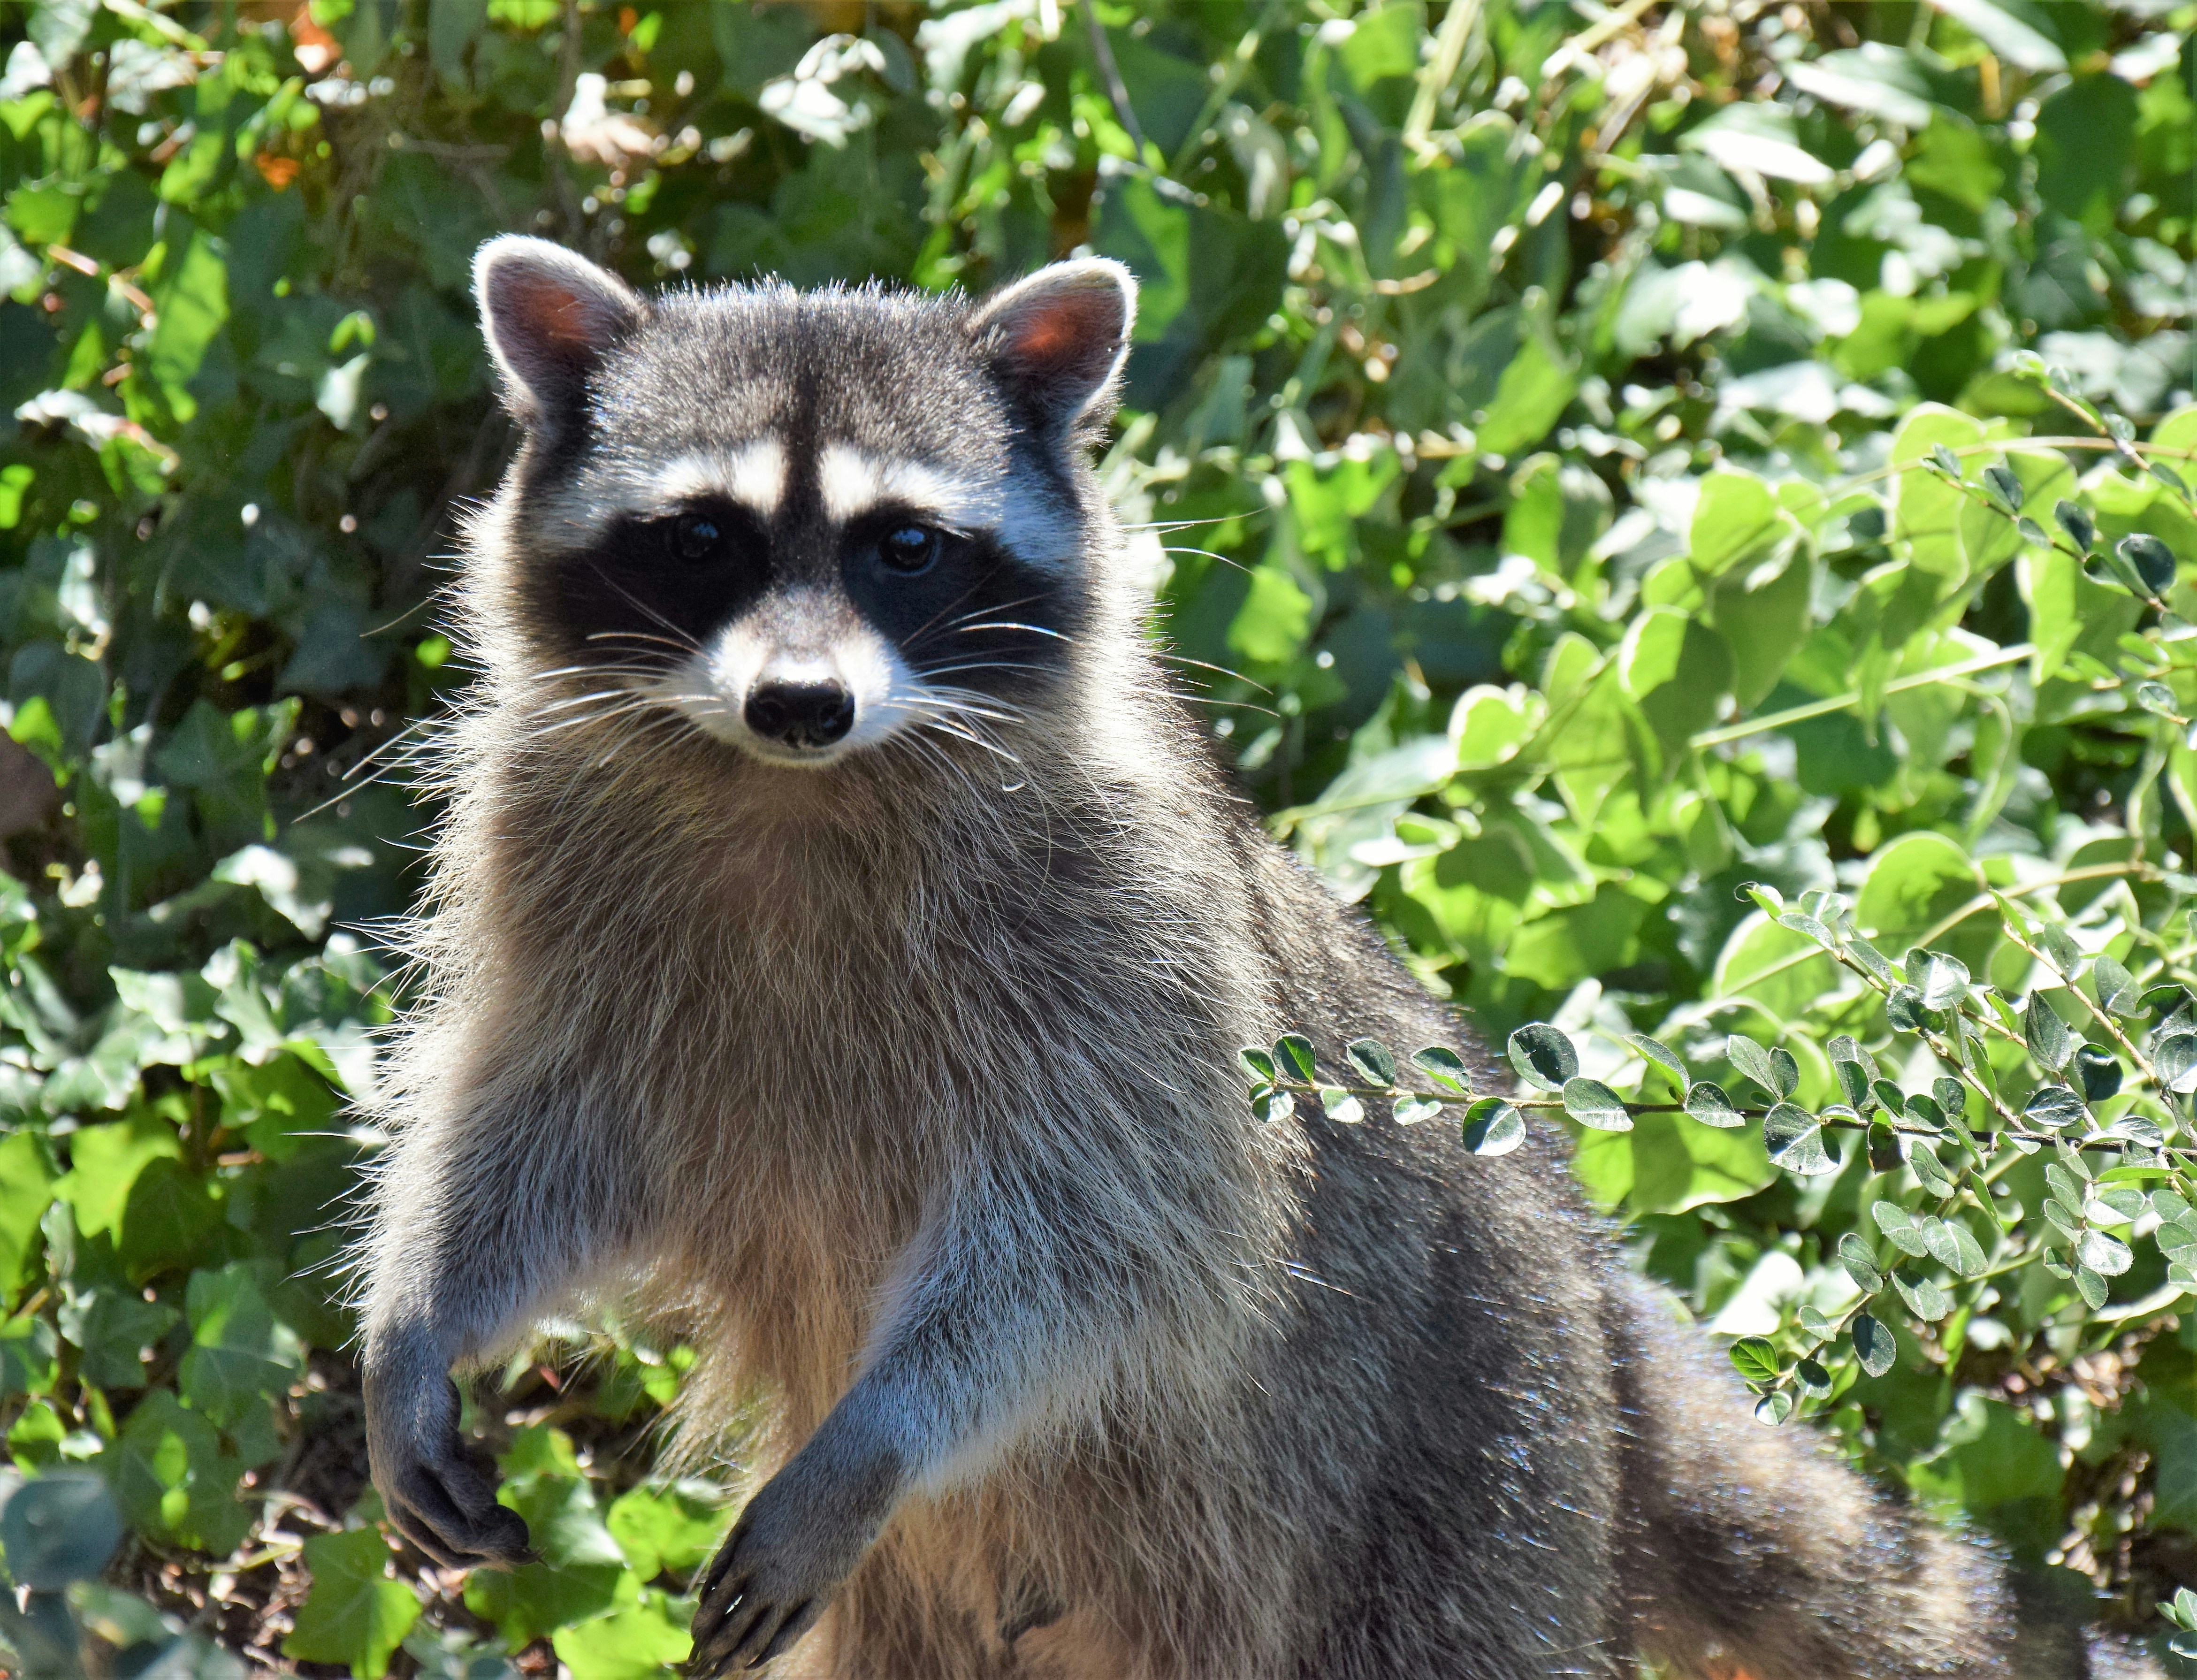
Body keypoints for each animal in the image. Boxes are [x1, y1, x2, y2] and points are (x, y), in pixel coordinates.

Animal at [354, 236, 2142, 1680]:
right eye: (705, 537)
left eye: (903, 548)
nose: (802, 701)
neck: (793, 794)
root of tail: (1594, 1299)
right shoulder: (564, 884)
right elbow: (540, 1128)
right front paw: (421, 1315)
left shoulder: (1129, 954)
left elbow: (1104, 1247)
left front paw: (884, 1428)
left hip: (1466, 1494)